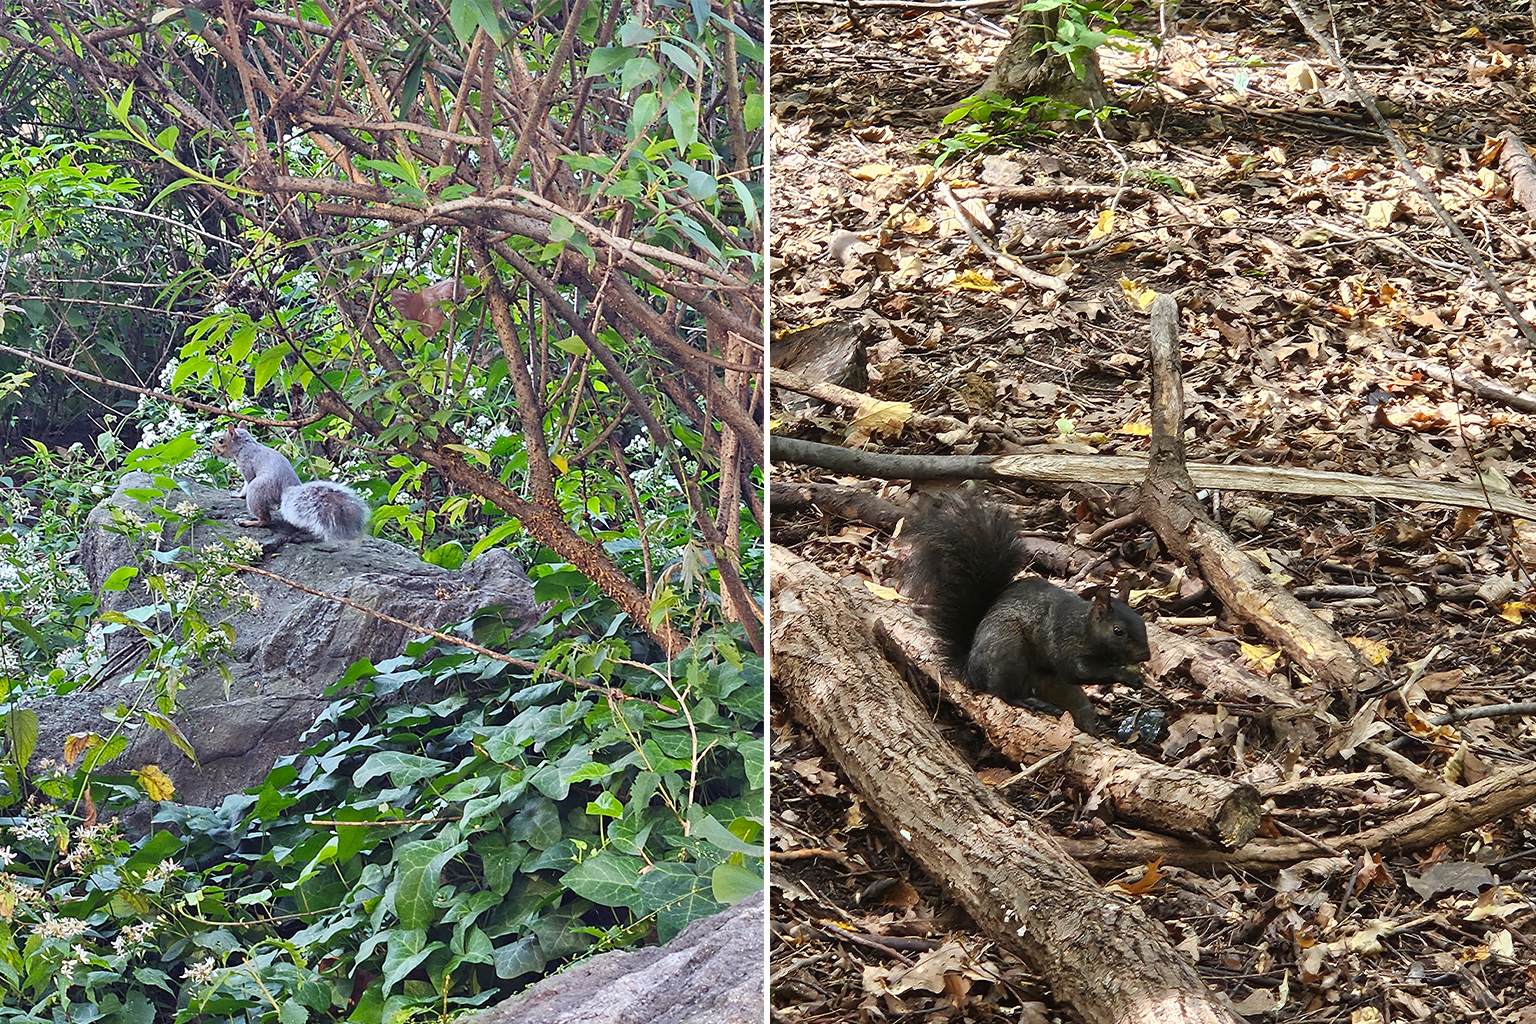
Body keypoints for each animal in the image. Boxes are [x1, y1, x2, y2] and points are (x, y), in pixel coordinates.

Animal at [210, 425, 368, 546]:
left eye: (221, 440)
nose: (212, 450)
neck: (245, 445)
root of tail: (287, 489)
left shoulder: (246, 466)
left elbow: (246, 484)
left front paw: (237, 494)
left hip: (257, 489)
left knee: (265, 520)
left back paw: (246, 522)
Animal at [903, 499, 1150, 735]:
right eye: (1118, 631)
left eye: (1143, 624)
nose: (1145, 655)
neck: (1084, 626)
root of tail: (971, 673)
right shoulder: (1066, 642)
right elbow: (1078, 671)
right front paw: (1123, 675)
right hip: (1007, 653)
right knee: (1002, 692)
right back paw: (1029, 702)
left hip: (1047, 681)